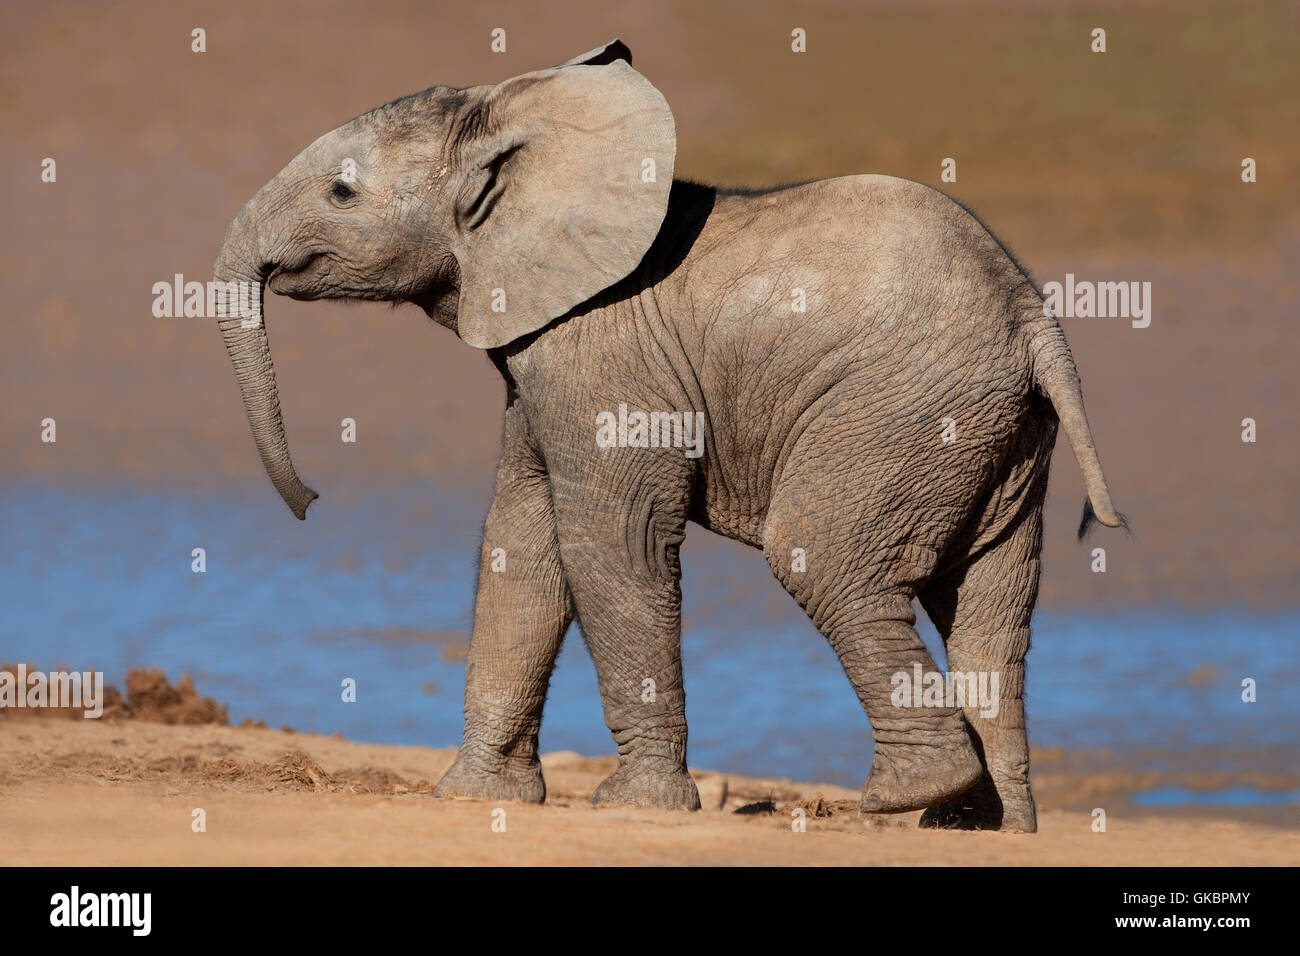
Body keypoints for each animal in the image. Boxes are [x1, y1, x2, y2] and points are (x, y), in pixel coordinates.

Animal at [212, 39, 1124, 832]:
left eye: (341, 193)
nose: (312, 498)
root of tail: (1031, 314)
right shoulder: (546, 356)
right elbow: (521, 539)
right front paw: (474, 798)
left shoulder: (601, 353)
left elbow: (610, 541)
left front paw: (635, 806)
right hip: (991, 435)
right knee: (988, 614)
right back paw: (980, 827)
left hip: (899, 414)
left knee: (825, 559)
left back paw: (907, 799)